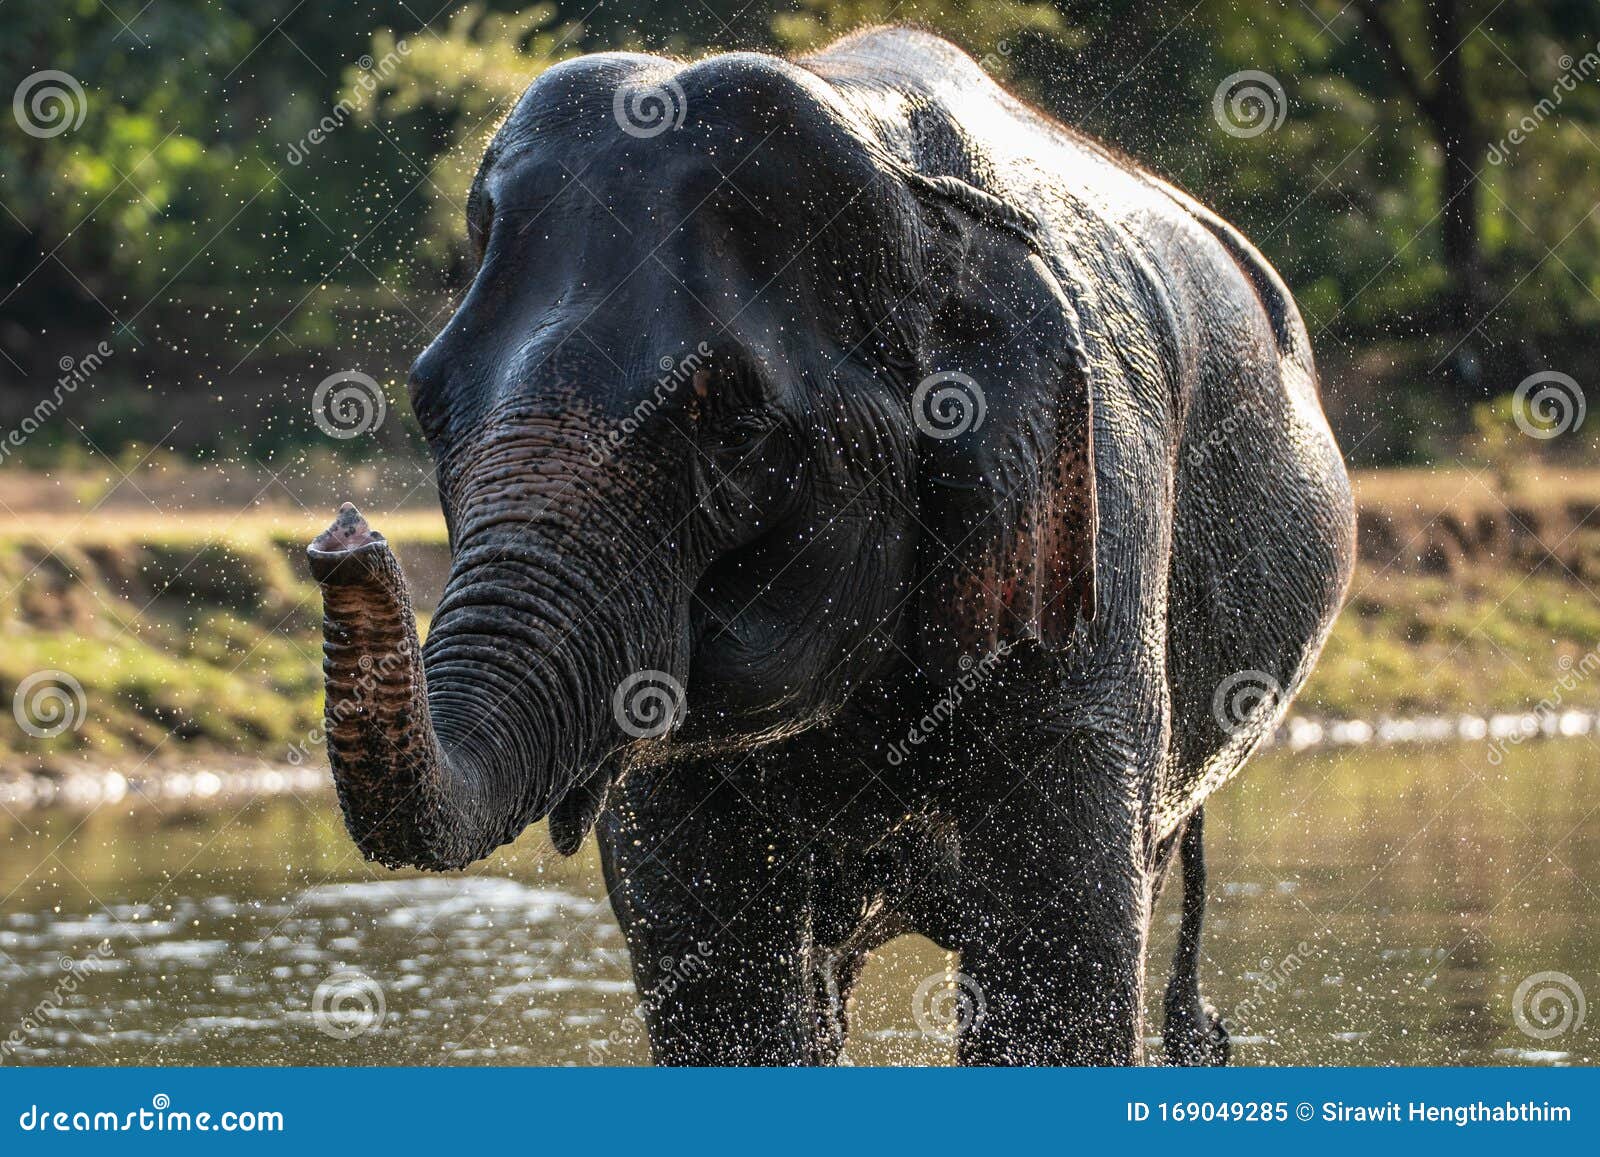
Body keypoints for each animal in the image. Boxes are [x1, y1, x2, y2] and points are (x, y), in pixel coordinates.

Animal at [306, 25, 1355, 1065]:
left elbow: (1057, 983)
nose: (341, 536)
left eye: (735, 426)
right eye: (429, 405)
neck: (909, 190)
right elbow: (718, 974)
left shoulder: (1098, 523)